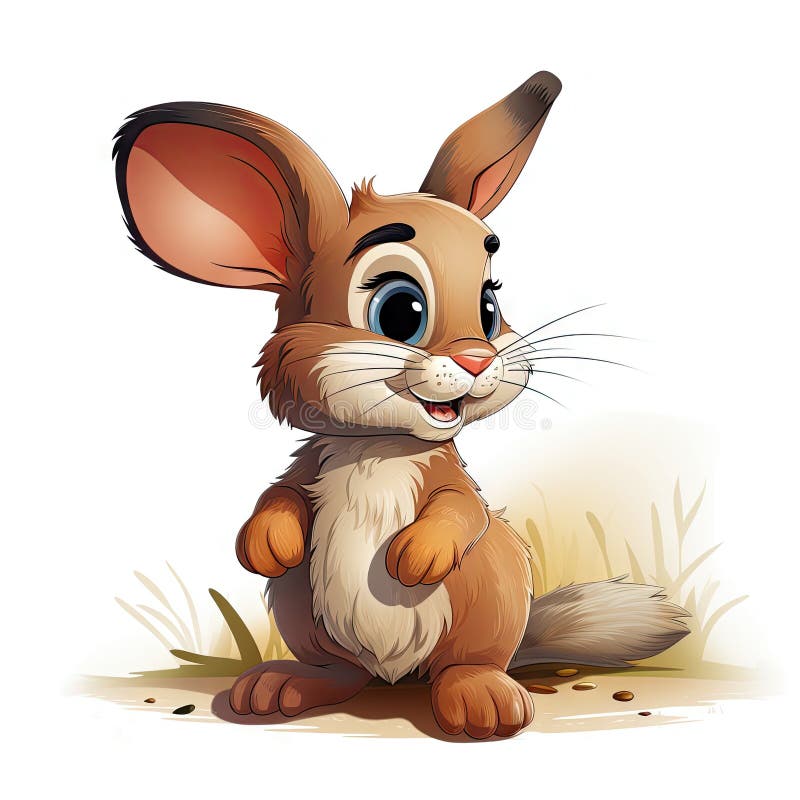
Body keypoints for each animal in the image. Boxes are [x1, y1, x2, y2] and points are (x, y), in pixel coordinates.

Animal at [113, 71, 689, 739]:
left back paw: (484, 699)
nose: (477, 359)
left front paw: (415, 557)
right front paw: (267, 547)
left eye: (490, 305)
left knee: (464, 664)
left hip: (492, 593)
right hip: (306, 619)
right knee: (341, 673)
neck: (377, 447)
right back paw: (281, 686)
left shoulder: (451, 483)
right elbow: (278, 497)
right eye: (400, 310)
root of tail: (397, 679)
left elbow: (460, 512)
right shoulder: (308, 467)